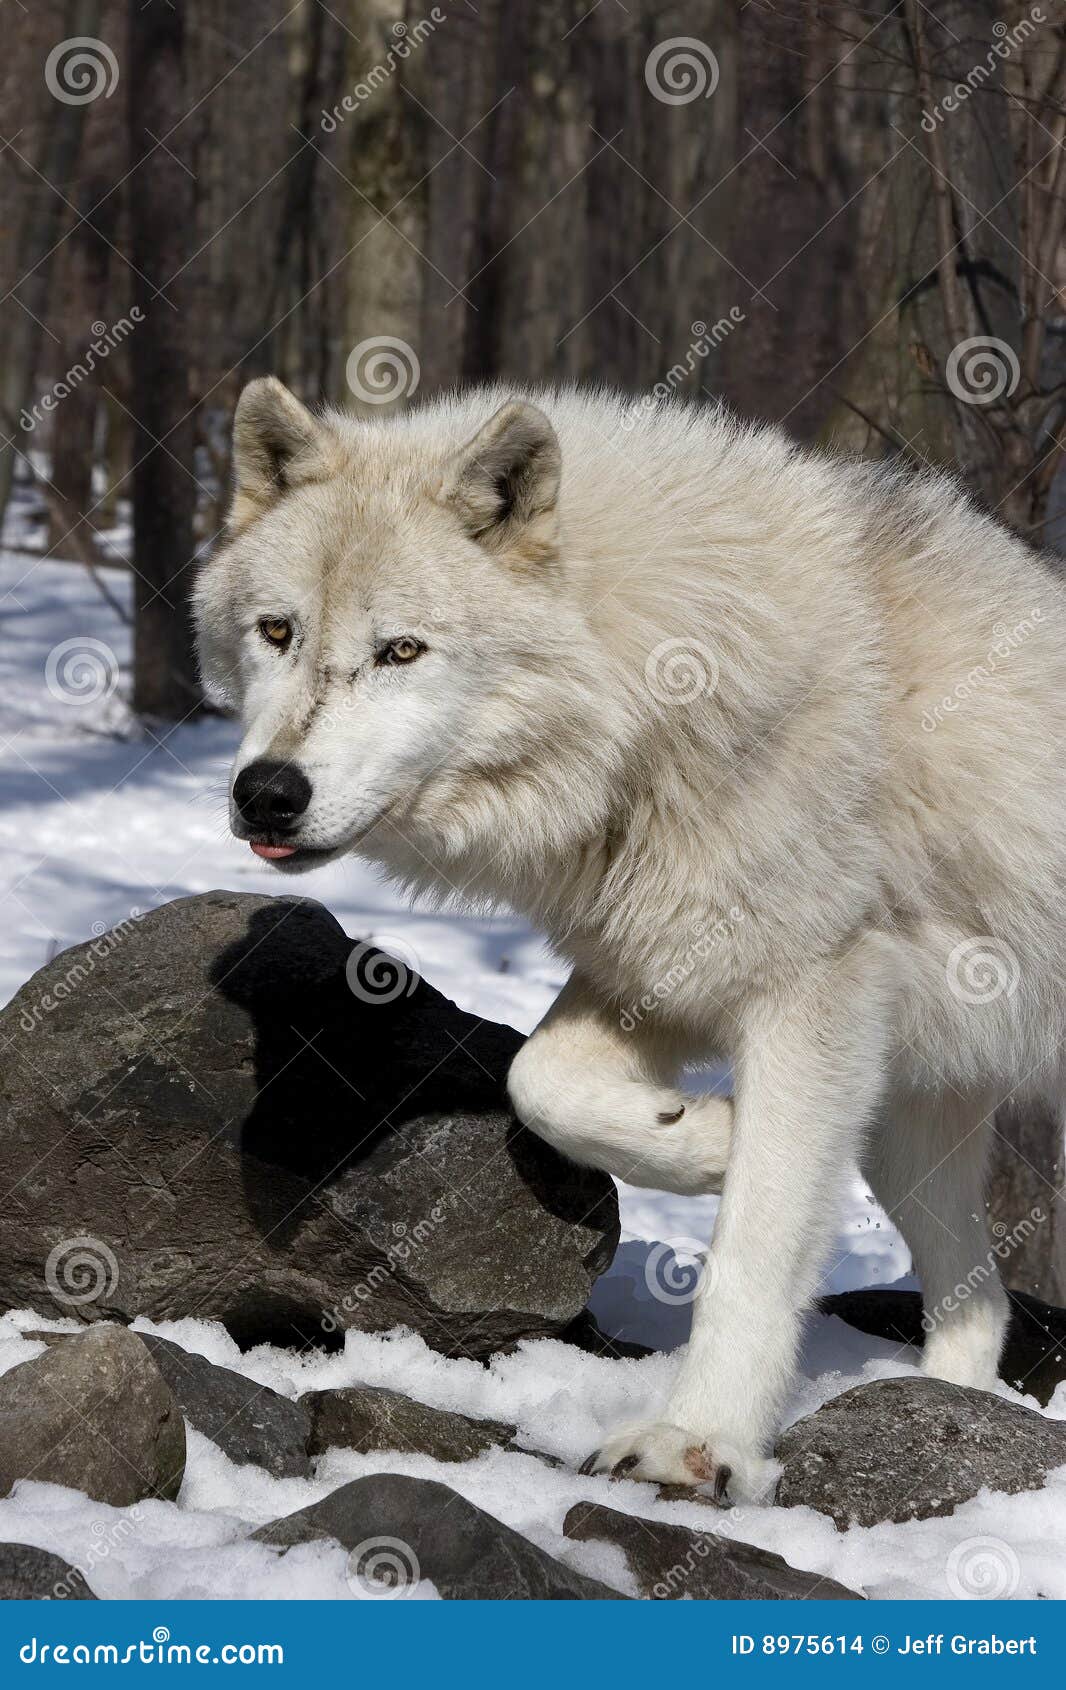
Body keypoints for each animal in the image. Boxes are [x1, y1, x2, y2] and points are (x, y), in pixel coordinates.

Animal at [194, 375, 1065, 1501]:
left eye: (401, 650)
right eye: (276, 630)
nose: (268, 792)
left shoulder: (804, 999)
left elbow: (754, 1252)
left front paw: (695, 1440)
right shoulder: (648, 970)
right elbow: (540, 1081)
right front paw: (709, 1136)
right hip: (915, 1124)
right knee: (978, 1303)